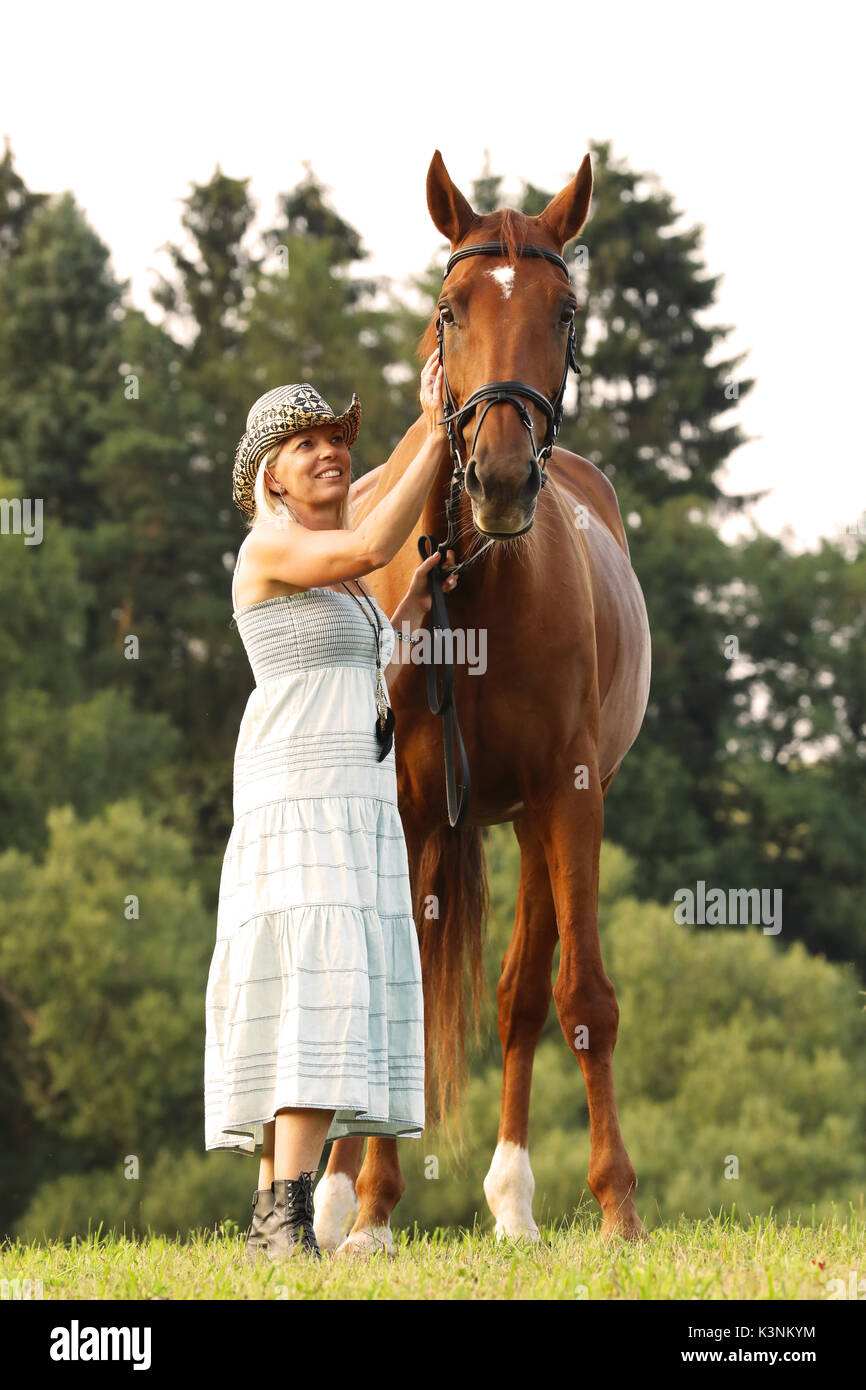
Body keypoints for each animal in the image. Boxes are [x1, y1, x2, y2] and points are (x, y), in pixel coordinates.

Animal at [313, 150, 651, 1252]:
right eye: (450, 309)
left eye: (564, 312)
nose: (500, 475)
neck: (479, 594)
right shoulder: (413, 808)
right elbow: (402, 991)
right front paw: (371, 1210)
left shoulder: (568, 799)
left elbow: (576, 996)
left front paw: (615, 1203)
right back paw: (337, 1196)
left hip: (531, 825)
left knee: (518, 994)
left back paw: (510, 1197)